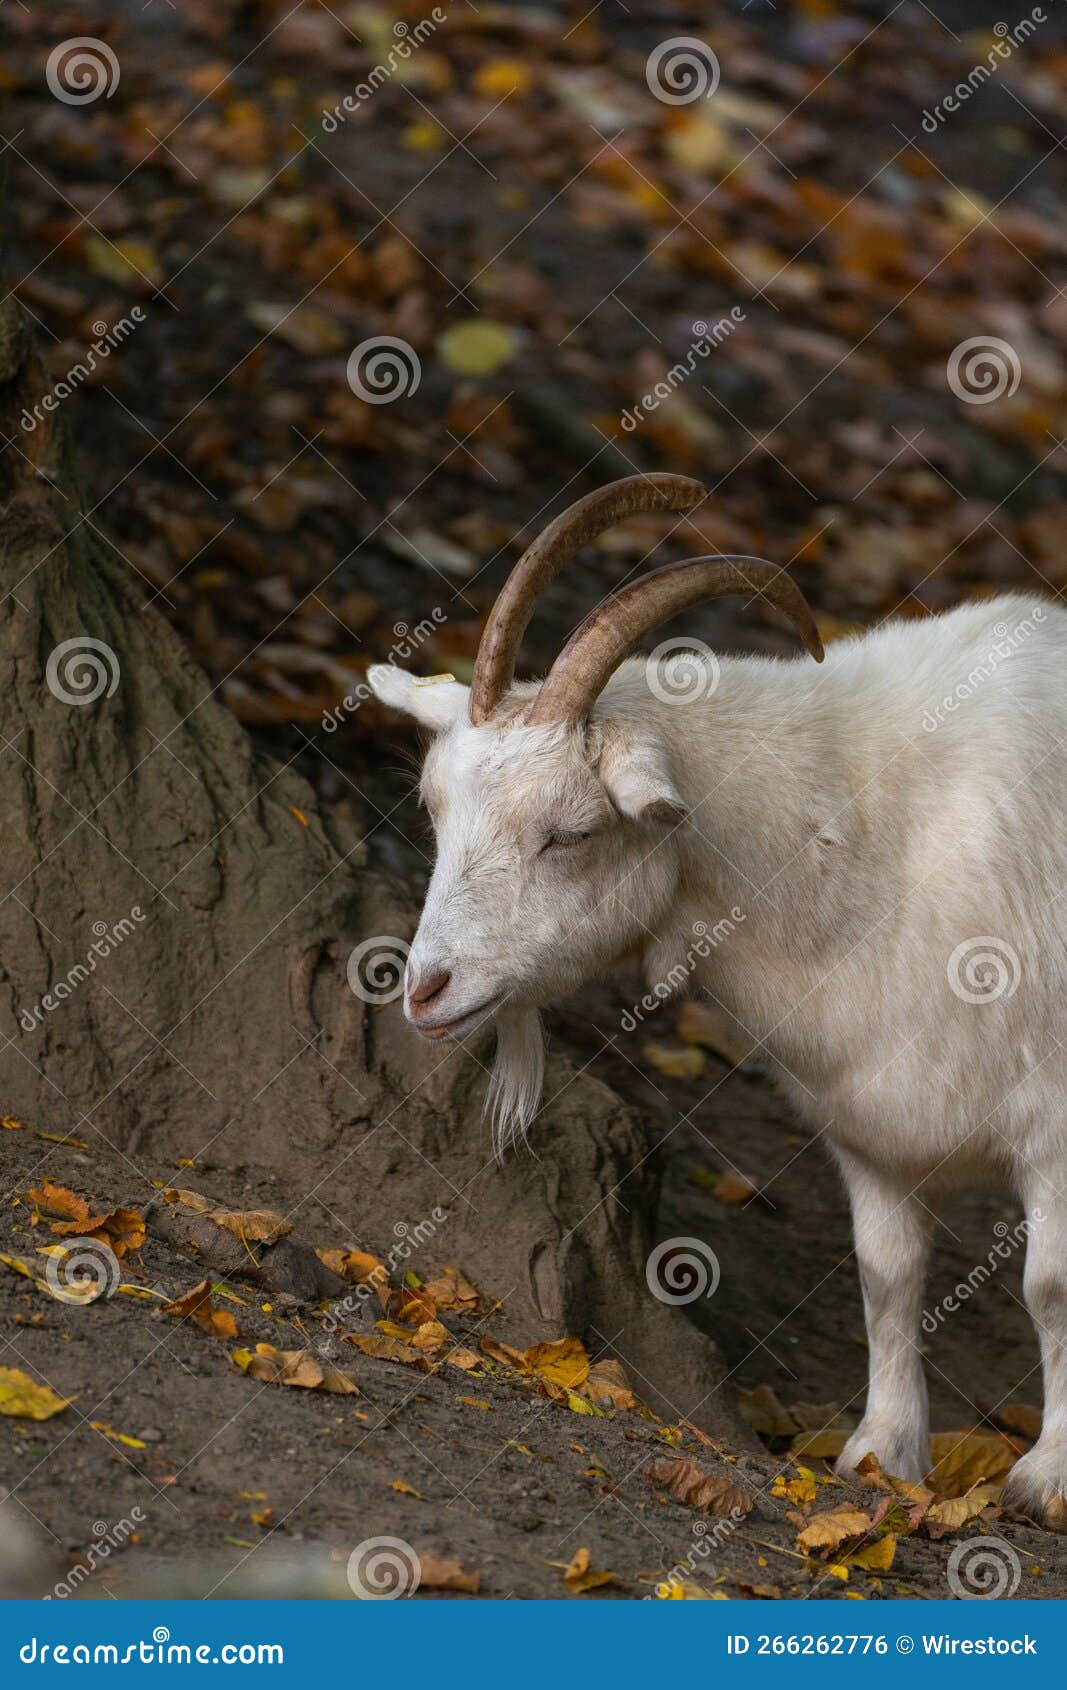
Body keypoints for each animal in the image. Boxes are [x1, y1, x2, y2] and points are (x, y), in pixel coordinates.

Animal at [368, 472, 1067, 1530]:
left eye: (571, 833)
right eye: (433, 810)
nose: (426, 990)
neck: (874, 834)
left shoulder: (1055, 1130)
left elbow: (1048, 1288)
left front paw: (1047, 1479)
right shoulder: (870, 1132)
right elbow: (886, 1279)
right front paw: (879, 1455)